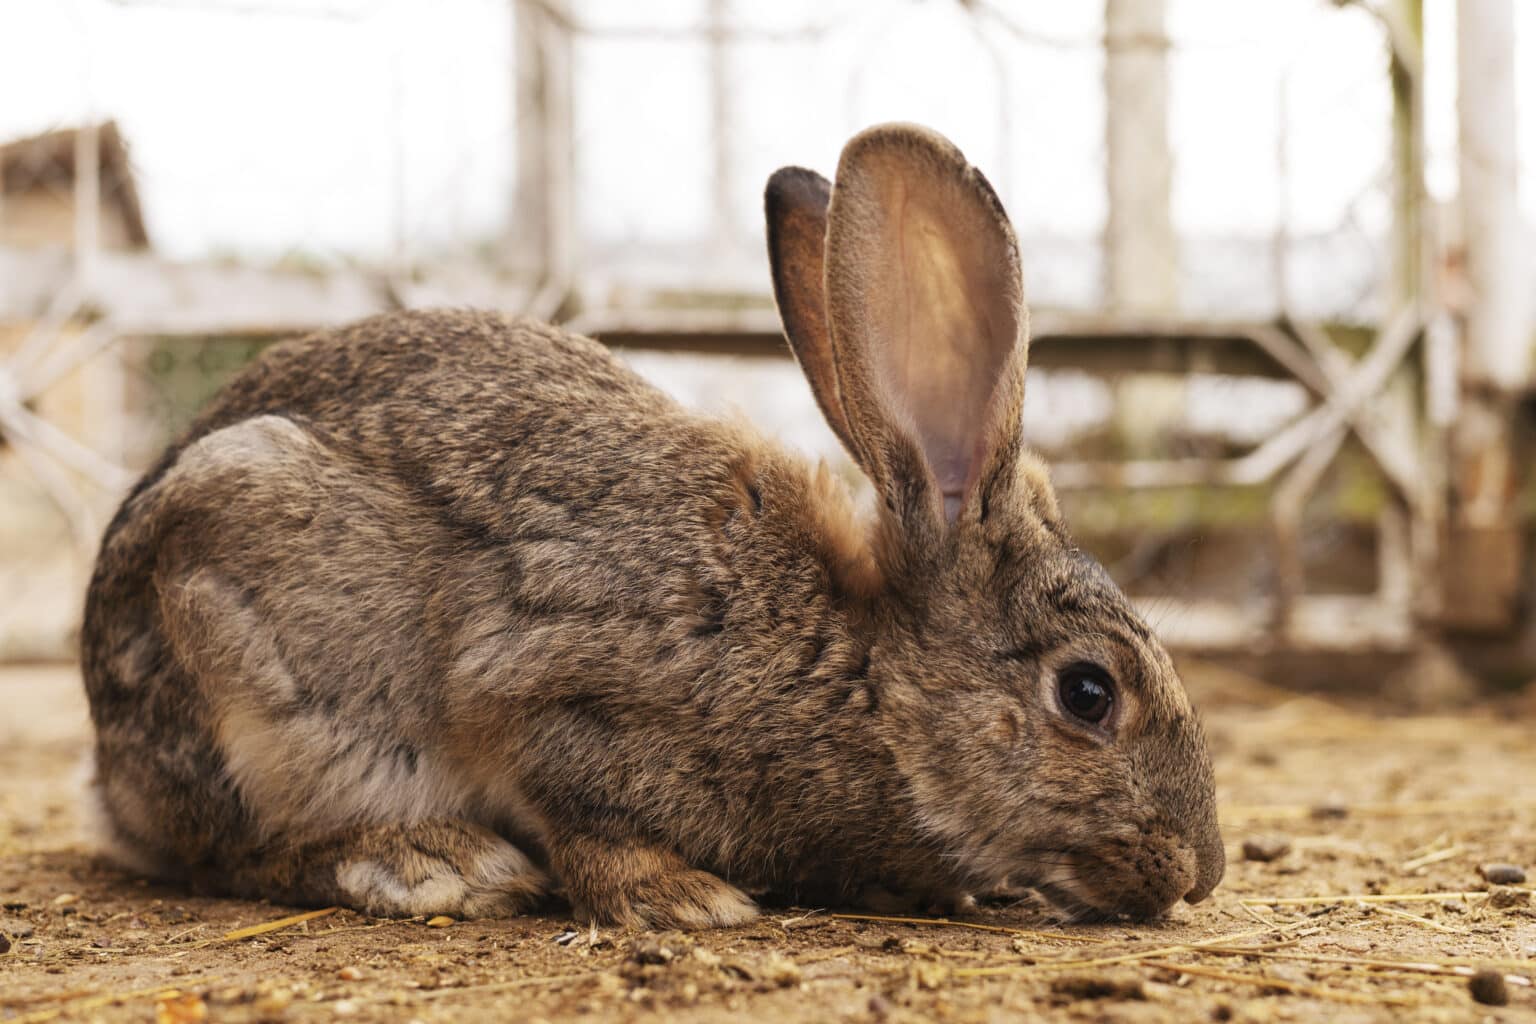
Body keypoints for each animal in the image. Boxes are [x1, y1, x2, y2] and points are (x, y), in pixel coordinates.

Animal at [80, 123, 1224, 929]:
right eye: (1088, 693)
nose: (1201, 870)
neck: (865, 675)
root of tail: (110, 770)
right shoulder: (555, 695)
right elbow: (580, 816)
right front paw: (685, 898)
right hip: (235, 643)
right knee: (230, 850)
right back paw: (428, 861)